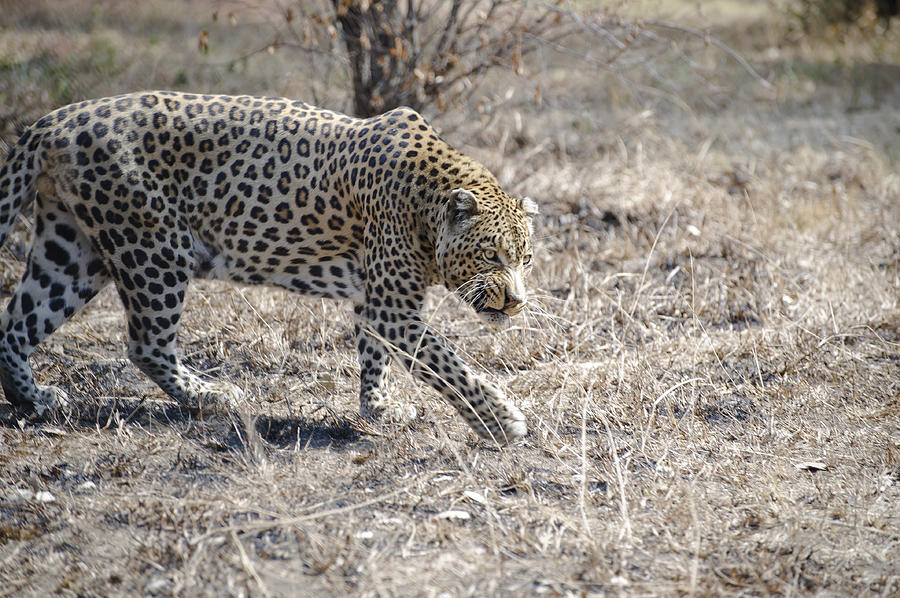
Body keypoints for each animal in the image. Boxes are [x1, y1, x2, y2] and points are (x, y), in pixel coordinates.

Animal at [0, 91, 538, 444]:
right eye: (491, 255)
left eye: (526, 260)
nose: (516, 301)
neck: (429, 200)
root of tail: (53, 120)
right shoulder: (394, 311)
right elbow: (445, 362)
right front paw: (501, 420)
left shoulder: (375, 304)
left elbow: (375, 359)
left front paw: (378, 410)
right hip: (154, 247)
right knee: (146, 344)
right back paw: (213, 396)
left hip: (71, 252)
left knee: (15, 326)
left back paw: (36, 400)